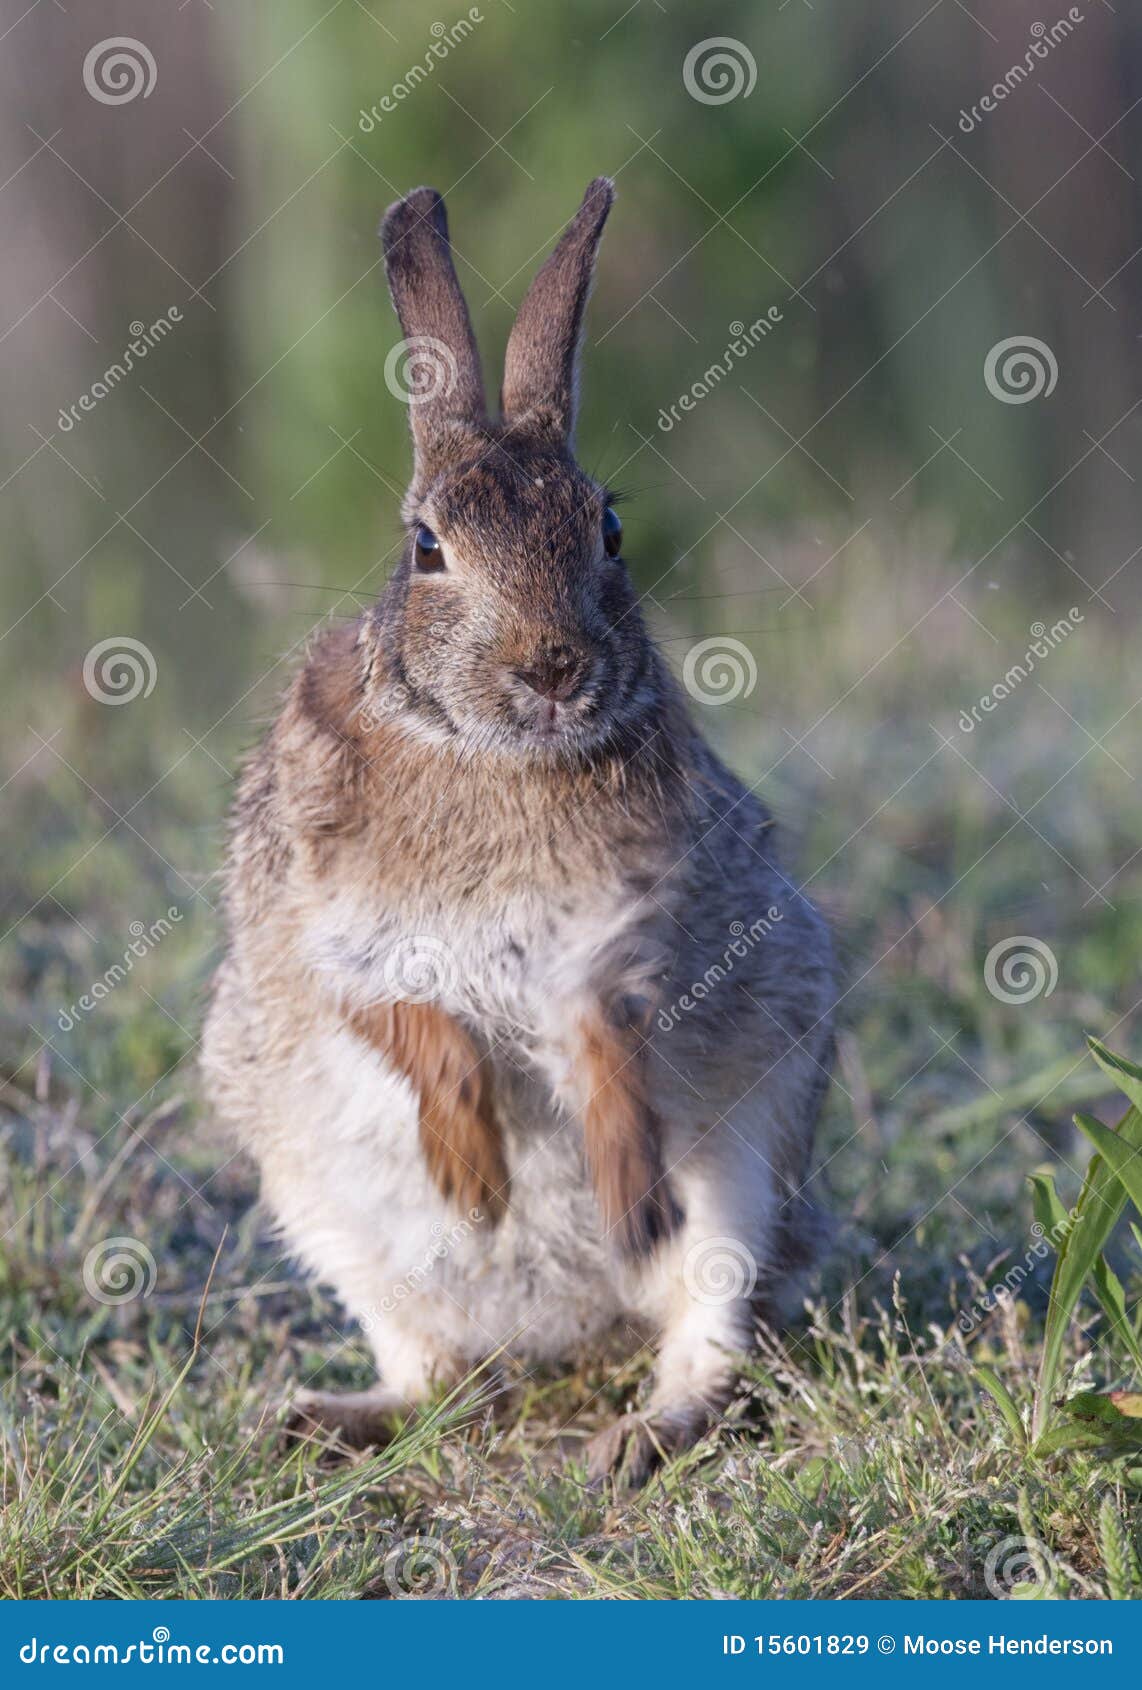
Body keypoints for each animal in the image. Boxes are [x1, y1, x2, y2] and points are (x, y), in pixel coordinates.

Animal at [201, 177, 836, 1487]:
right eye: (425, 546)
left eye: (606, 530)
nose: (551, 668)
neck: (491, 756)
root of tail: (571, 1328)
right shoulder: (330, 941)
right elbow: (419, 1027)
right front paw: (474, 1180)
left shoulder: (636, 933)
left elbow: (607, 1039)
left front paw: (620, 1186)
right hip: (314, 1195)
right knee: (440, 1376)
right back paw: (330, 1414)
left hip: (749, 1166)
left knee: (706, 1329)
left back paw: (637, 1433)